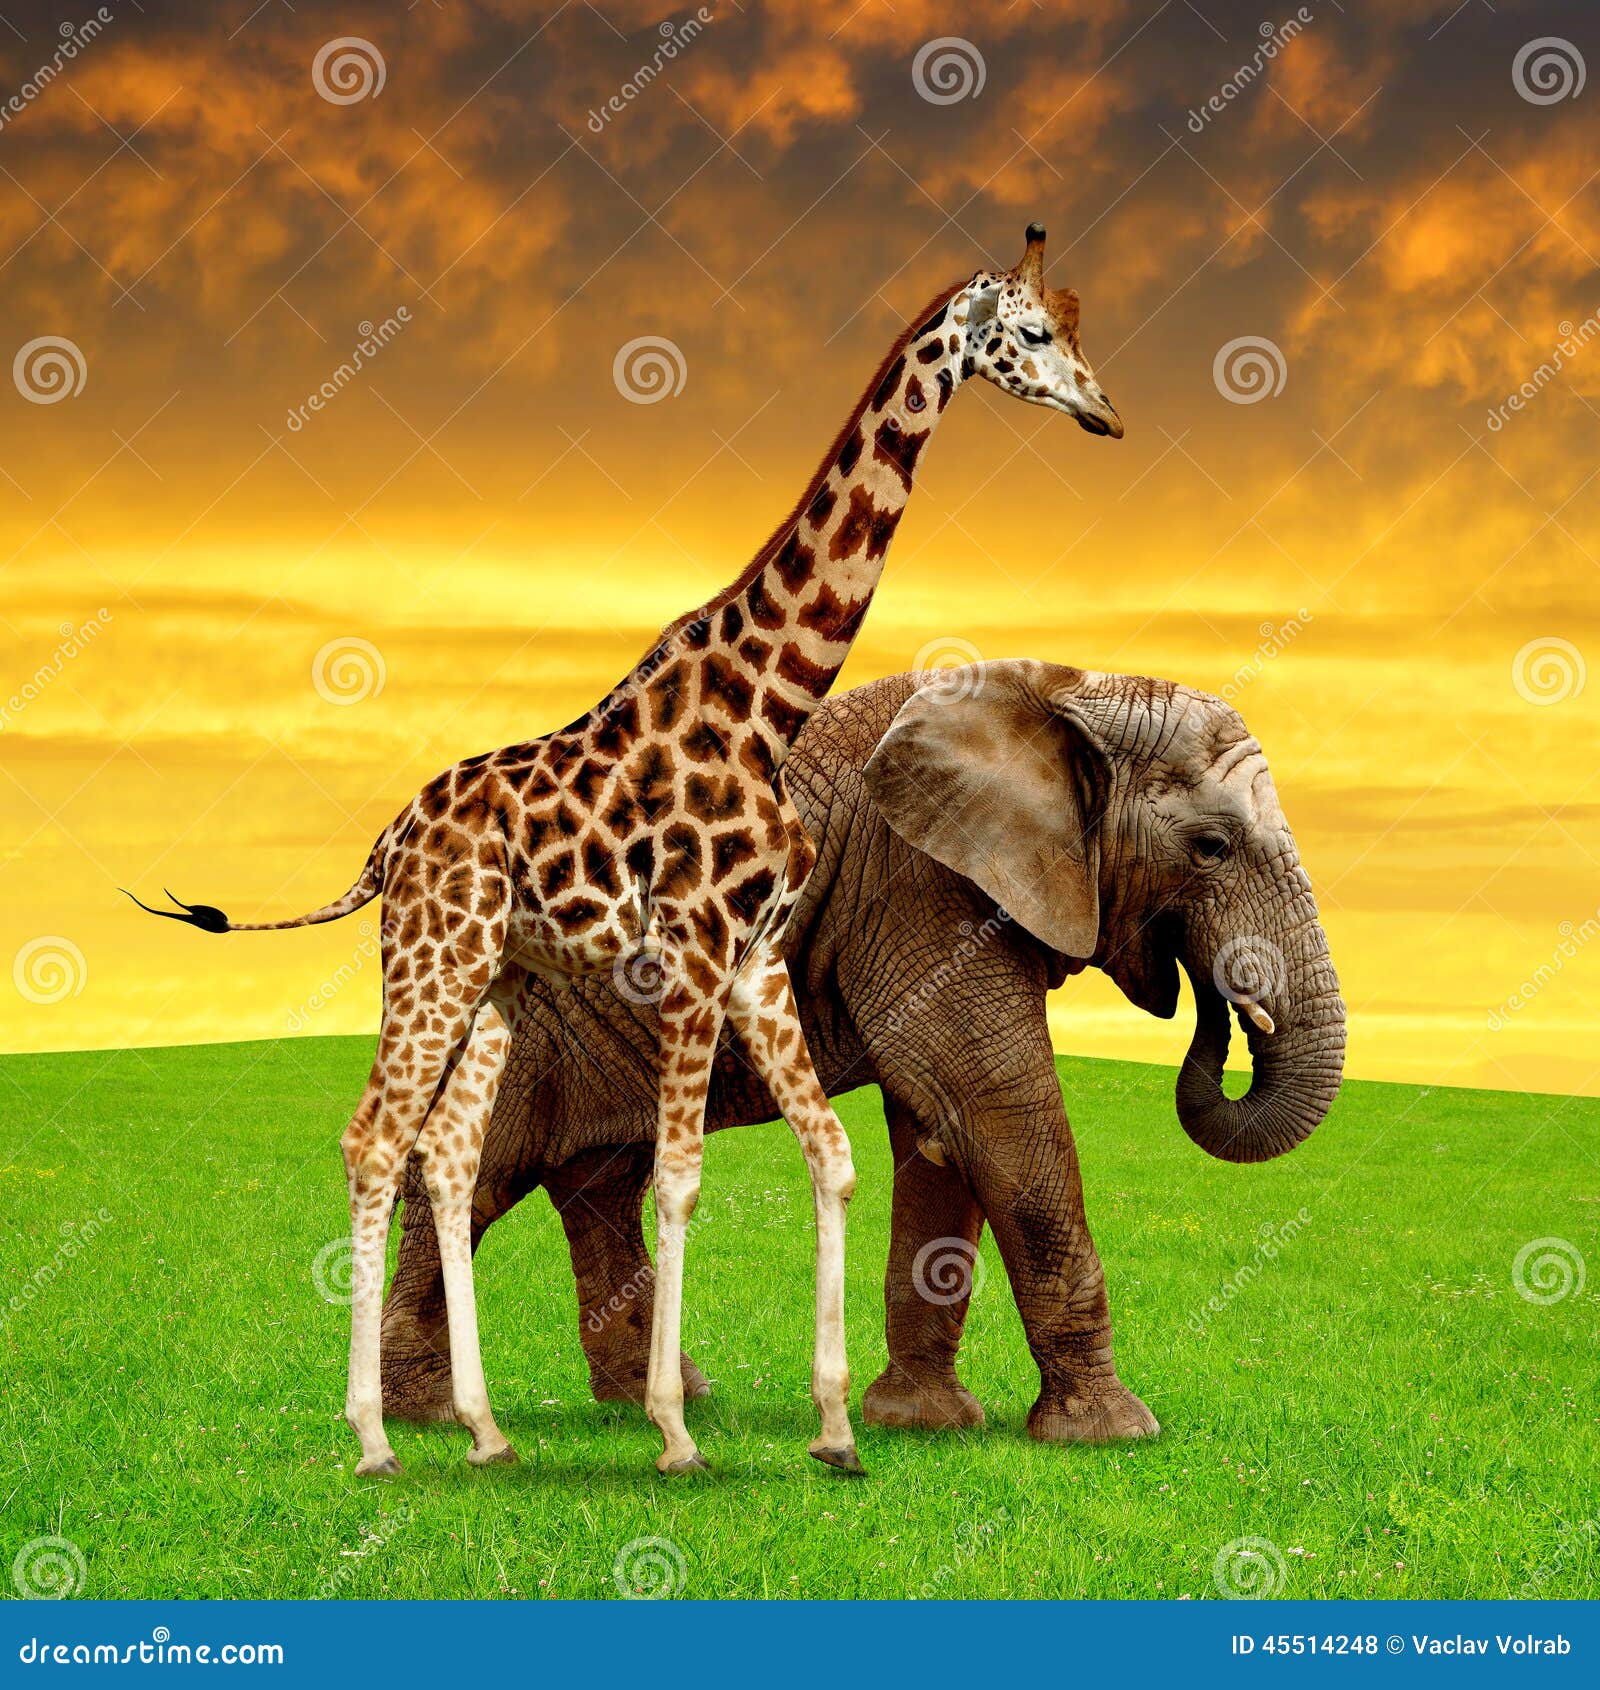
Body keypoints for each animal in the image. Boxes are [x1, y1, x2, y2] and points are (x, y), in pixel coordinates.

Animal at [125, 223, 1124, 1479]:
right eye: (1032, 333)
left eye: (1078, 332)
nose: (1104, 412)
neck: (767, 704)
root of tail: (387, 841)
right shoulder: (692, 953)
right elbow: (682, 1179)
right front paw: (675, 1432)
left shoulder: (757, 959)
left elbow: (831, 1154)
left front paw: (836, 1431)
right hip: (434, 958)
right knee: (374, 1139)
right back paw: (373, 1440)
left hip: (501, 983)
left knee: (446, 1148)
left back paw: (486, 1432)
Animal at [379, 659, 1345, 1442]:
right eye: (1211, 847)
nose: (1218, 1004)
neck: (1069, 690)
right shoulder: (919, 881)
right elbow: (991, 1103)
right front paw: (1111, 1433)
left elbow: (941, 1130)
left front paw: (919, 1422)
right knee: (476, 1176)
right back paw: (426, 1417)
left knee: (601, 1185)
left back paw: (667, 1404)